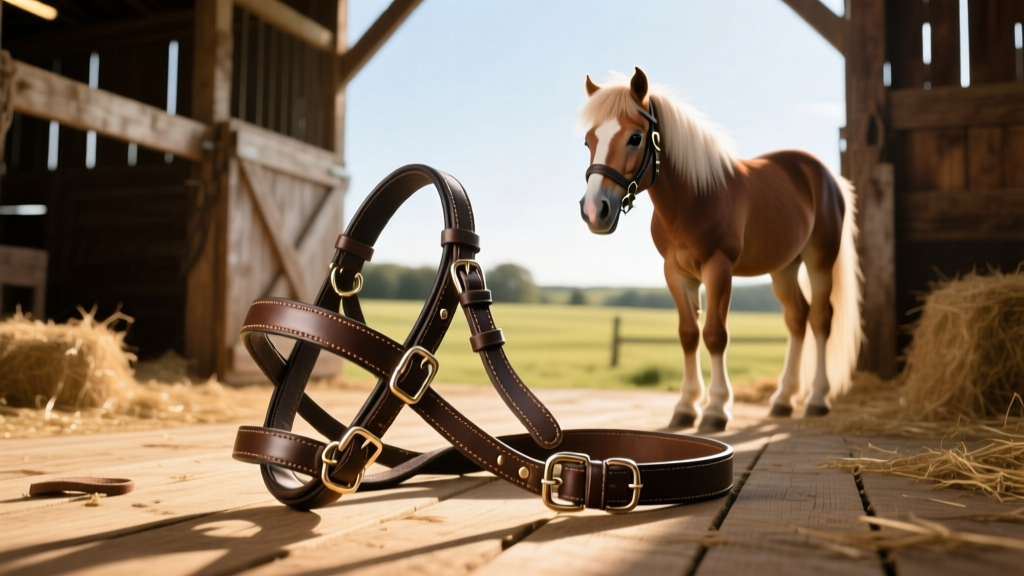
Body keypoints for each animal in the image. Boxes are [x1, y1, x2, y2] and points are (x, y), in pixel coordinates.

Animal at [578, 67, 862, 432]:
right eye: (589, 140)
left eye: (635, 138)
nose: (593, 211)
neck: (694, 199)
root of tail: (825, 176)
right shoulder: (676, 273)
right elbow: (688, 334)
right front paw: (685, 407)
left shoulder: (718, 268)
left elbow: (715, 334)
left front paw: (715, 409)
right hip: (784, 267)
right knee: (797, 319)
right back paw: (783, 399)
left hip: (819, 261)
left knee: (820, 319)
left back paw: (816, 399)